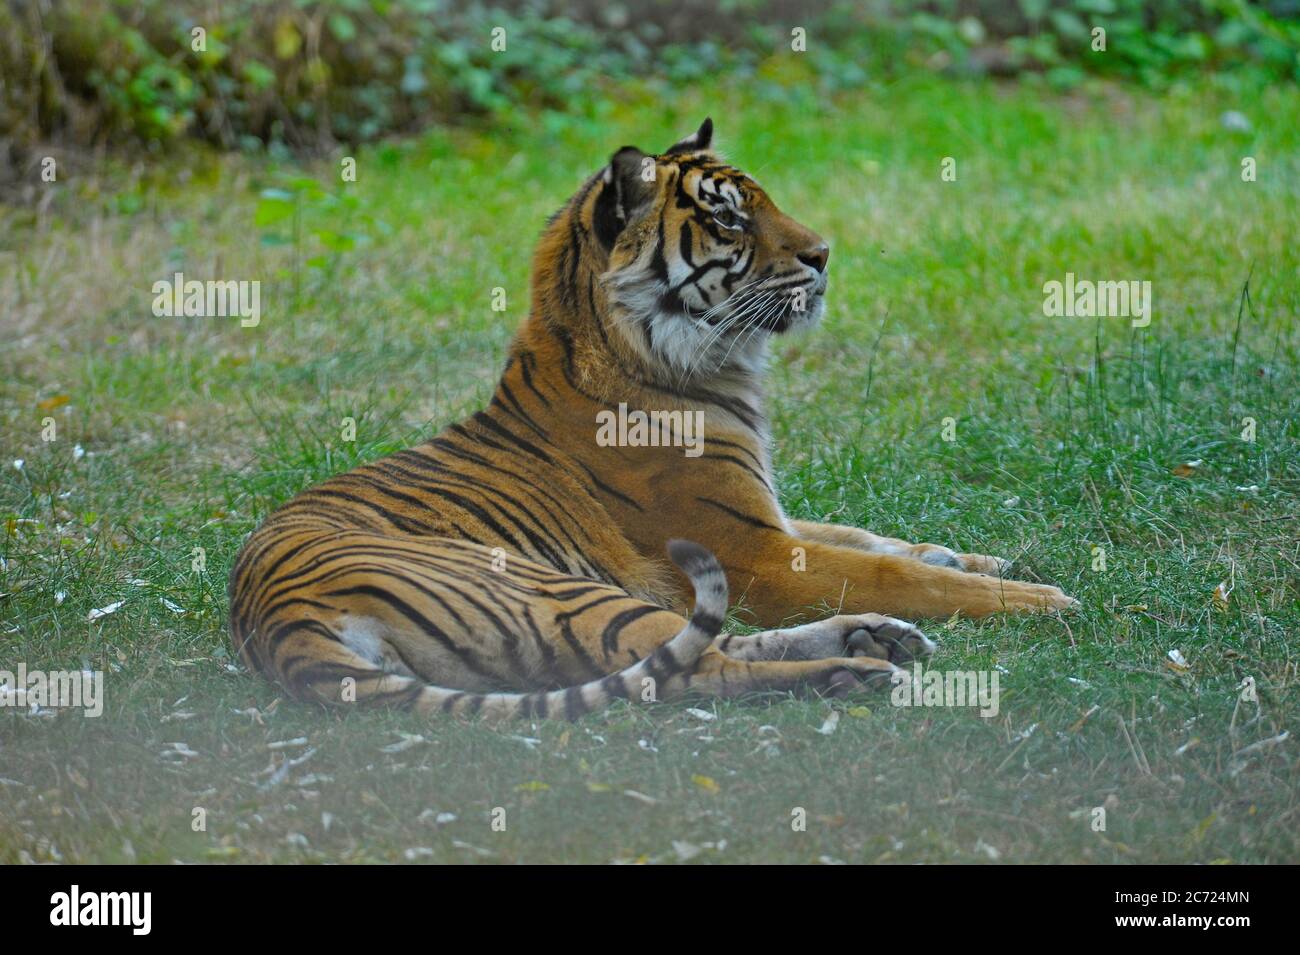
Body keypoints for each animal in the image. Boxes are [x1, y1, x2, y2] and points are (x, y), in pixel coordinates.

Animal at [228, 118, 1077, 720]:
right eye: (730, 220)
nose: (825, 254)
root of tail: (278, 622)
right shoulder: (754, 551)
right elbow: (895, 570)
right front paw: (1040, 598)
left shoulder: (773, 518)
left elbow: (877, 538)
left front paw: (986, 558)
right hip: (561, 593)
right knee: (693, 668)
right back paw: (855, 667)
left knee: (701, 647)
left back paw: (874, 637)